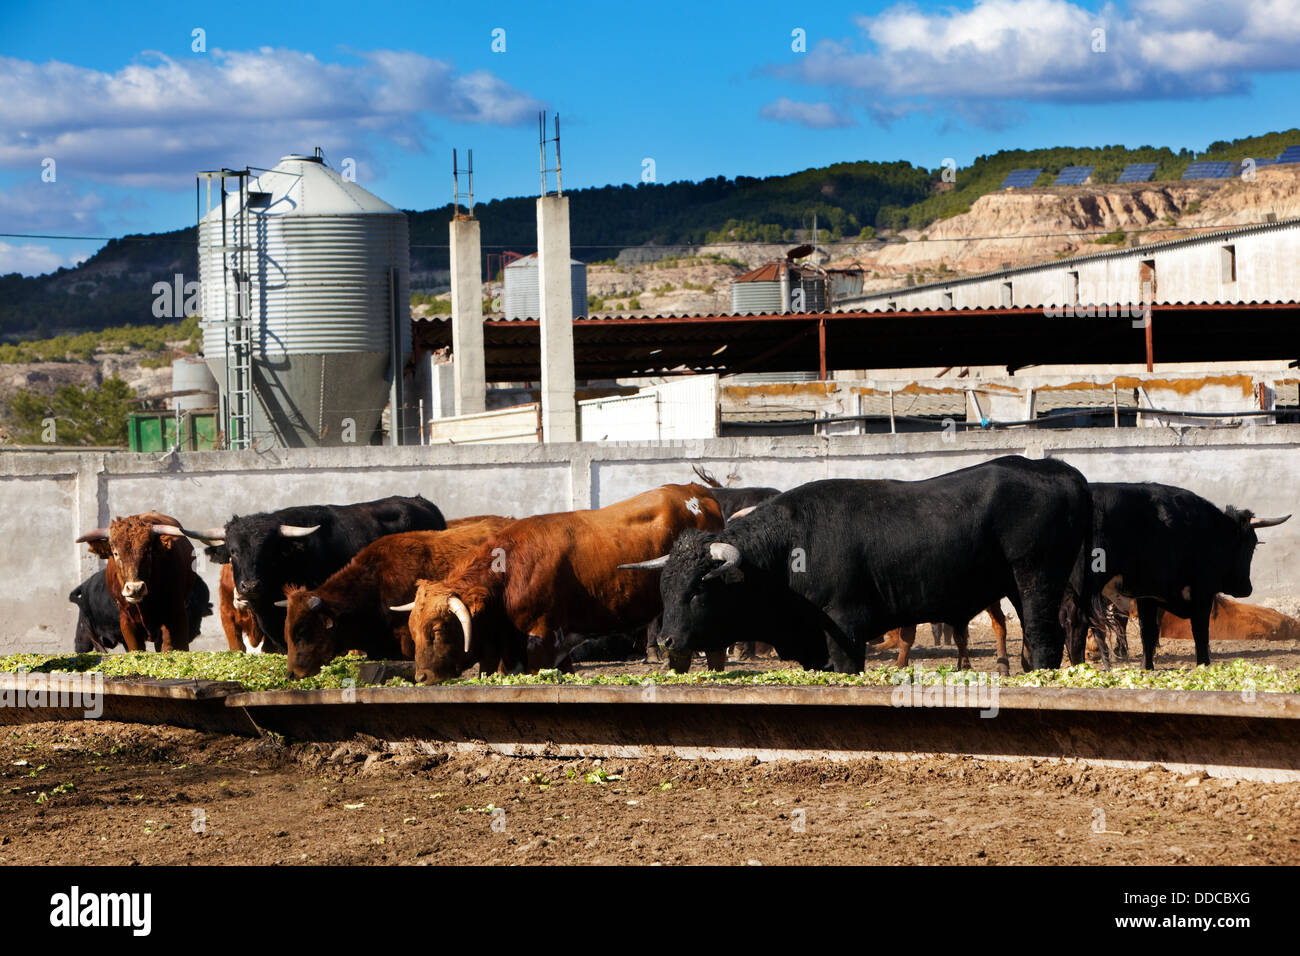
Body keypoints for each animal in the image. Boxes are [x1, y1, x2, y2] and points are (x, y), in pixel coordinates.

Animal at [401, 484, 725, 684]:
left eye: (438, 629)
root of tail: (696, 491)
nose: (421, 677)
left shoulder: (541, 644)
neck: (509, 574)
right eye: (413, 628)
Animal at [643, 457, 1092, 673]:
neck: (789, 549)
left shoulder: (845, 632)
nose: (666, 640)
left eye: (699, 588)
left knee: (1045, 638)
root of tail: (1055, 468)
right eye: (665, 587)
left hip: (1036, 579)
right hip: (1018, 586)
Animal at [1086, 481, 1289, 669]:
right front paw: (1203, 663)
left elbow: (1148, 631)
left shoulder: (1147, 596)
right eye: (1251, 544)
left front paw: (1146, 666)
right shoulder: (1202, 592)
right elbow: (1199, 630)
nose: (1246, 589)